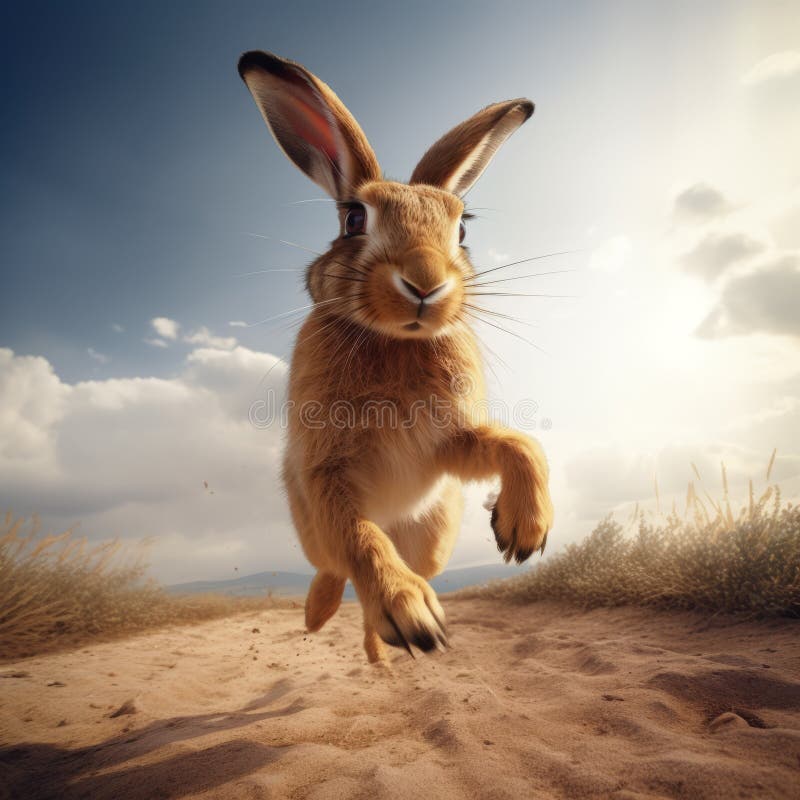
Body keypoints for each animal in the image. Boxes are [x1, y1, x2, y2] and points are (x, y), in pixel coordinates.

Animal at [238, 50, 554, 663]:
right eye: (353, 219)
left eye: (461, 227)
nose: (424, 283)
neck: (395, 340)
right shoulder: (327, 470)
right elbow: (359, 536)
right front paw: (408, 613)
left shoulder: (449, 443)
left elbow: (519, 444)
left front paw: (524, 531)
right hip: (306, 520)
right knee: (333, 567)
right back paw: (325, 617)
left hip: (433, 534)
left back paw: (379, 650)